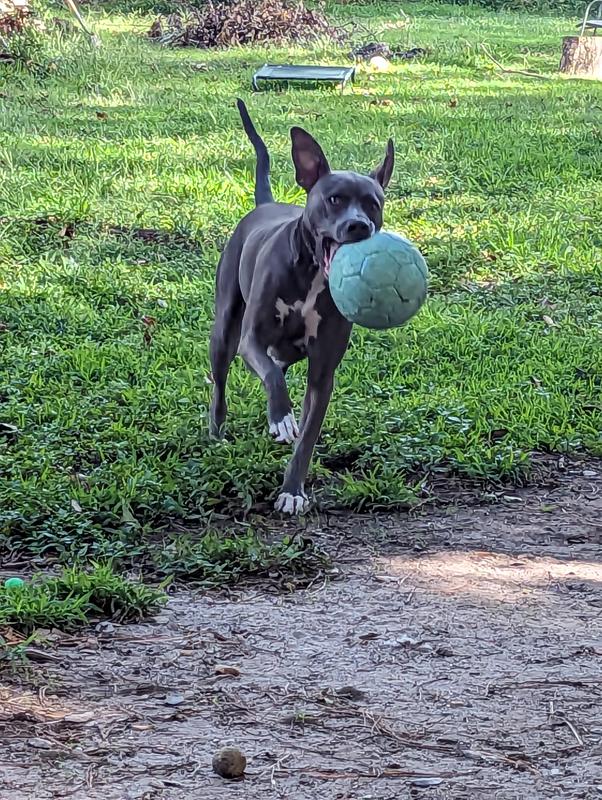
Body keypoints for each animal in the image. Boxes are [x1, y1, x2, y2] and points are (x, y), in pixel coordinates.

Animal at [207, 100, 394, 516]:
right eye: (334, 199)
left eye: (373, 203)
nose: (359, 226)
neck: (311, 278)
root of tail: (265, 205)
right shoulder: (251, 340)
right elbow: (272, 380)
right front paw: (280, 417)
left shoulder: (322, 371)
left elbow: (307, 437)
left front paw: (293, 490)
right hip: (224, 330)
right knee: (223, 384)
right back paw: (216, 434)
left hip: (288, 349)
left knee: (278, 363)